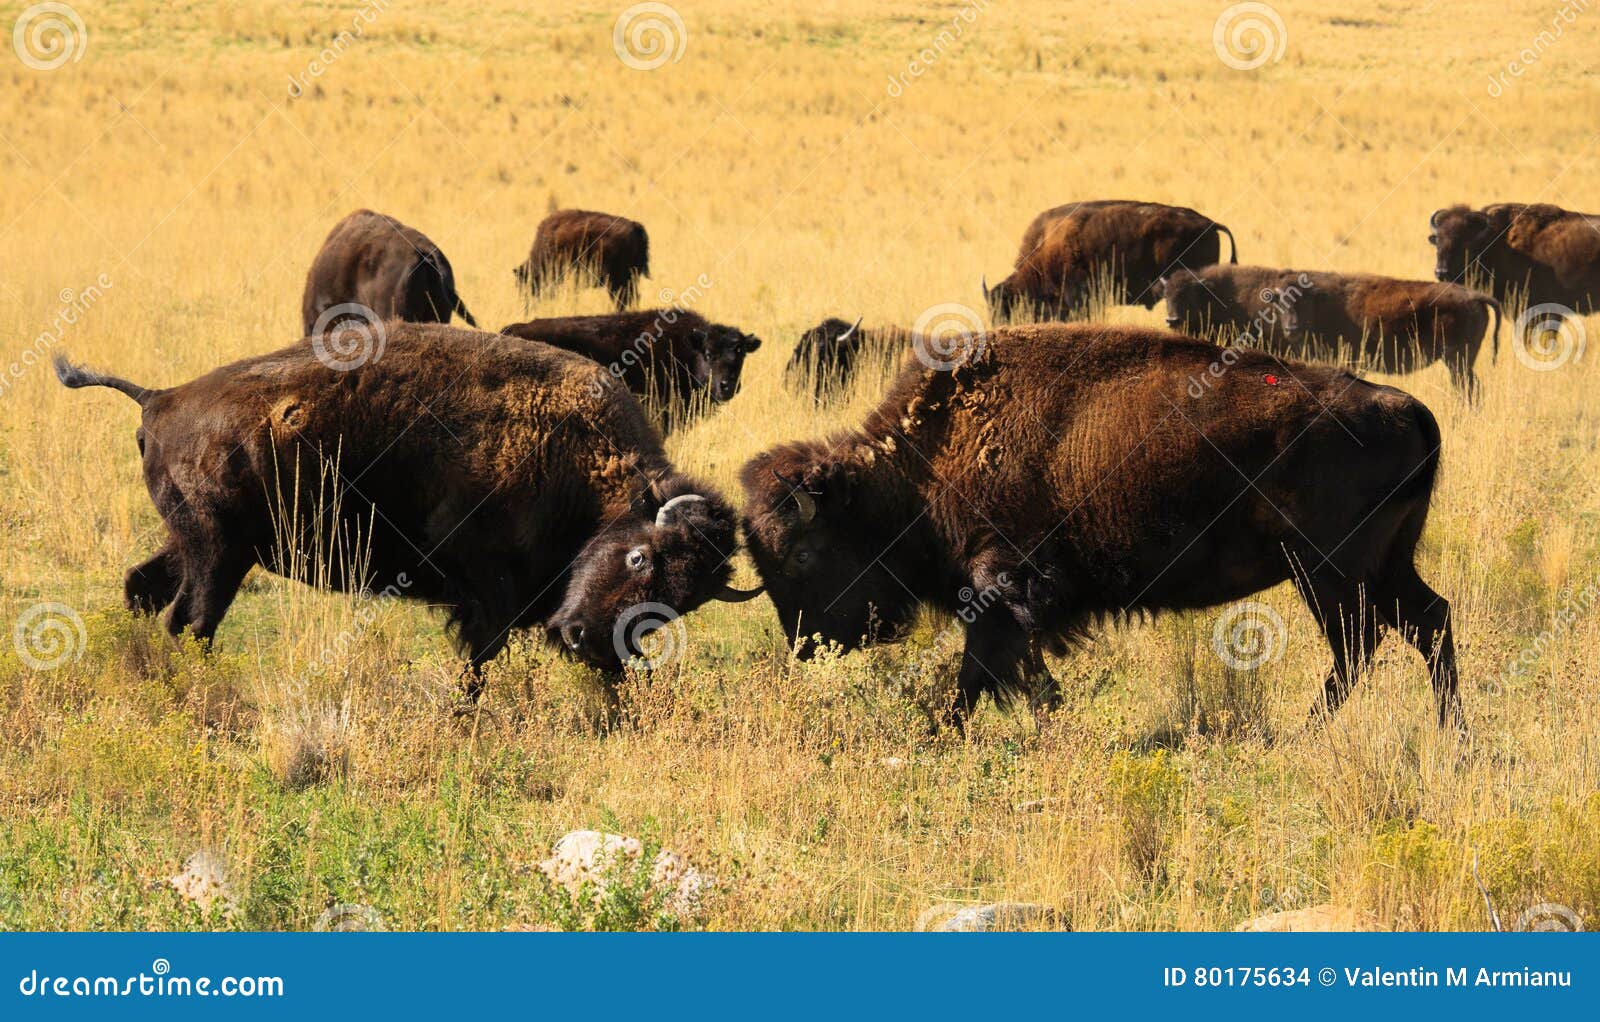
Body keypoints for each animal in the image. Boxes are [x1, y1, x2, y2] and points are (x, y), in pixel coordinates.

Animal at [54, 324, 759, 694]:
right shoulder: (486, 595)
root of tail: (161, 399)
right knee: (190, 622)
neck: (580, 461)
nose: (588, 640)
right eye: (639, 556)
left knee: (143, 589)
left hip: (196, 545)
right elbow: (479, 659)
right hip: (218, 554)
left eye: (680, 604)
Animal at [741, 323, 1460, 728]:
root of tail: (1408, 409)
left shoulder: (1004, 587)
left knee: (1360, 644)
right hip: (1380, 567)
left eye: (803, 555)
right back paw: (1448, 735)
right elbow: (1007, 674)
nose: (804, 644)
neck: (917, 469)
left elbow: (987, 675)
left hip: (1326, 570)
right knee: (1426, 622)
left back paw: (1305, 735)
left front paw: (947, 733)